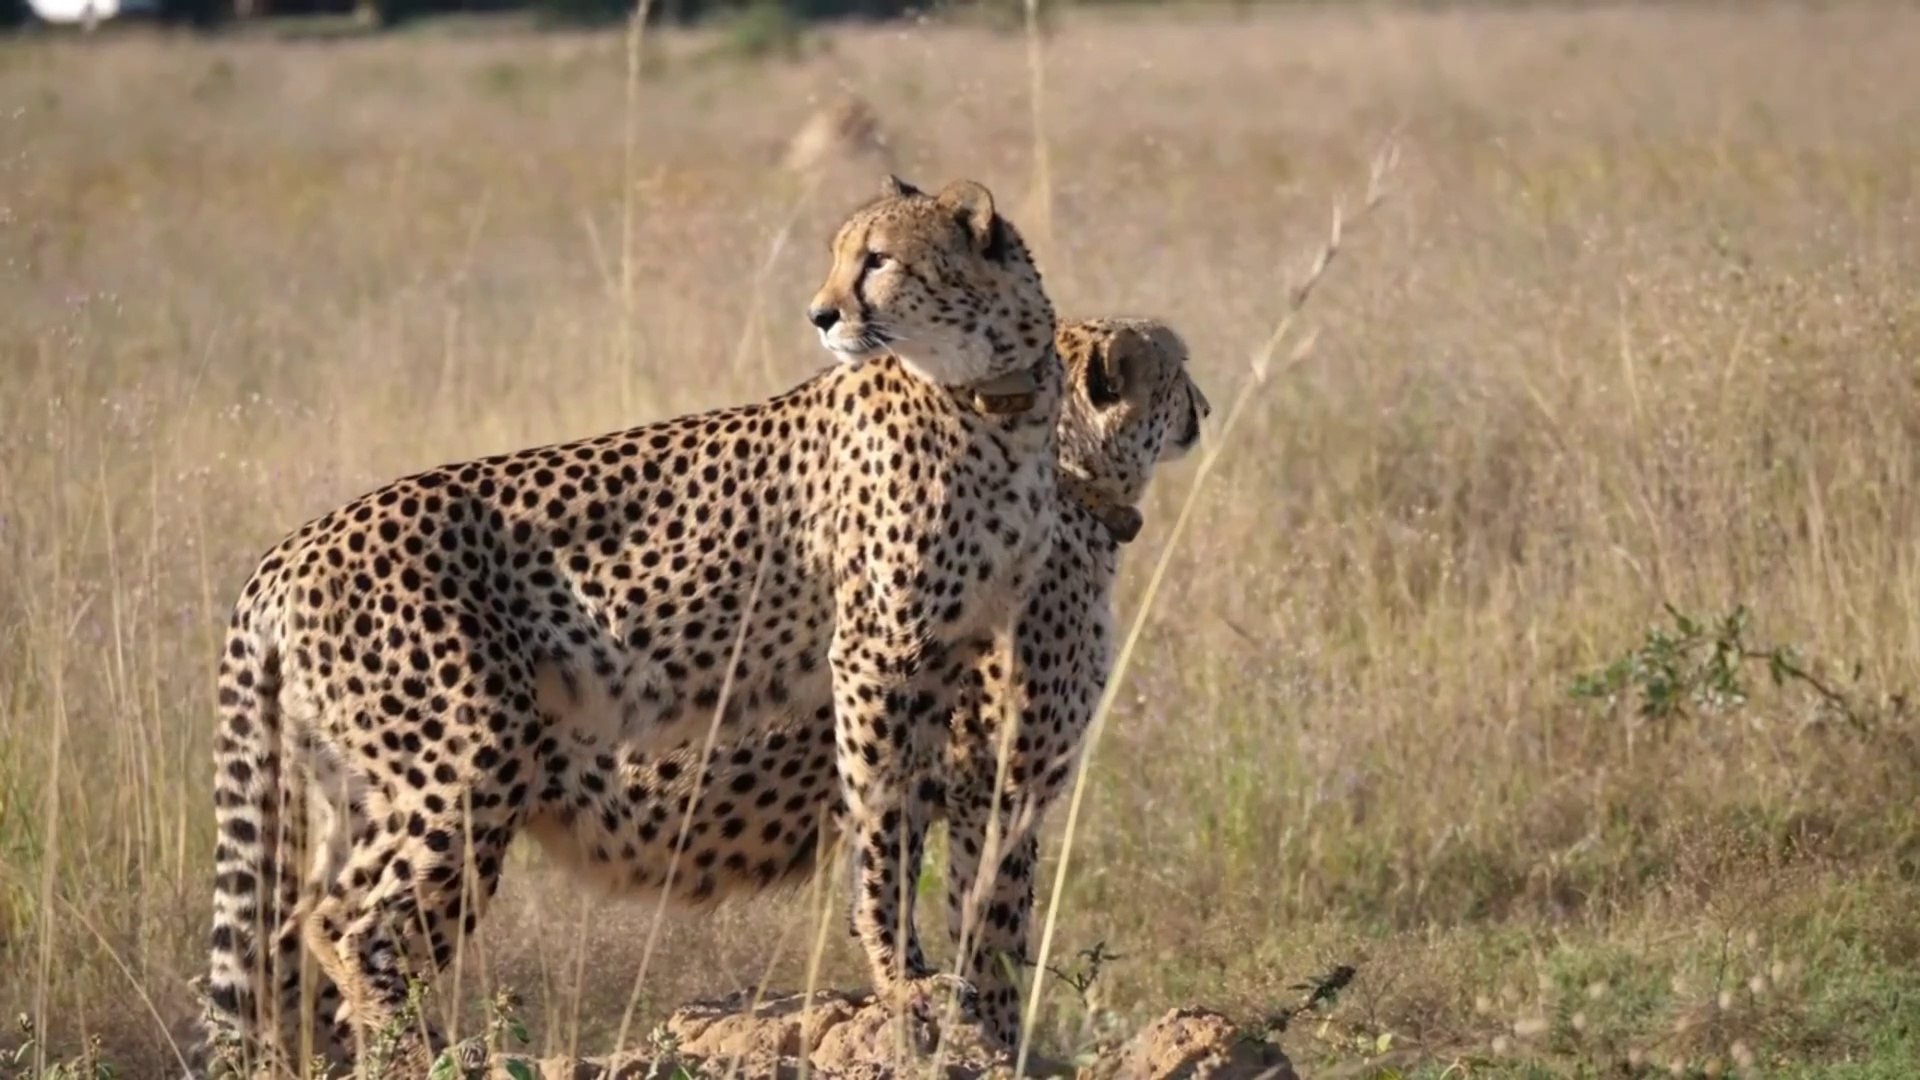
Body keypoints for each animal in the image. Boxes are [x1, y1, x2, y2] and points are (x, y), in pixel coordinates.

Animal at [195, 174, 1070, 1077]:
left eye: (879, 259)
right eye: (840, 256)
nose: (820, 315)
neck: (994, 398)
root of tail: (294, 546)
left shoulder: (948, 659)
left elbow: (937, 838)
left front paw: (946, 990)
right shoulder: (877, 655)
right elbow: (881, 823)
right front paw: (905, 985)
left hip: (357, 783)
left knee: (294, 930)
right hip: (468, 756)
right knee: (346, 920)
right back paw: (433, 1053)